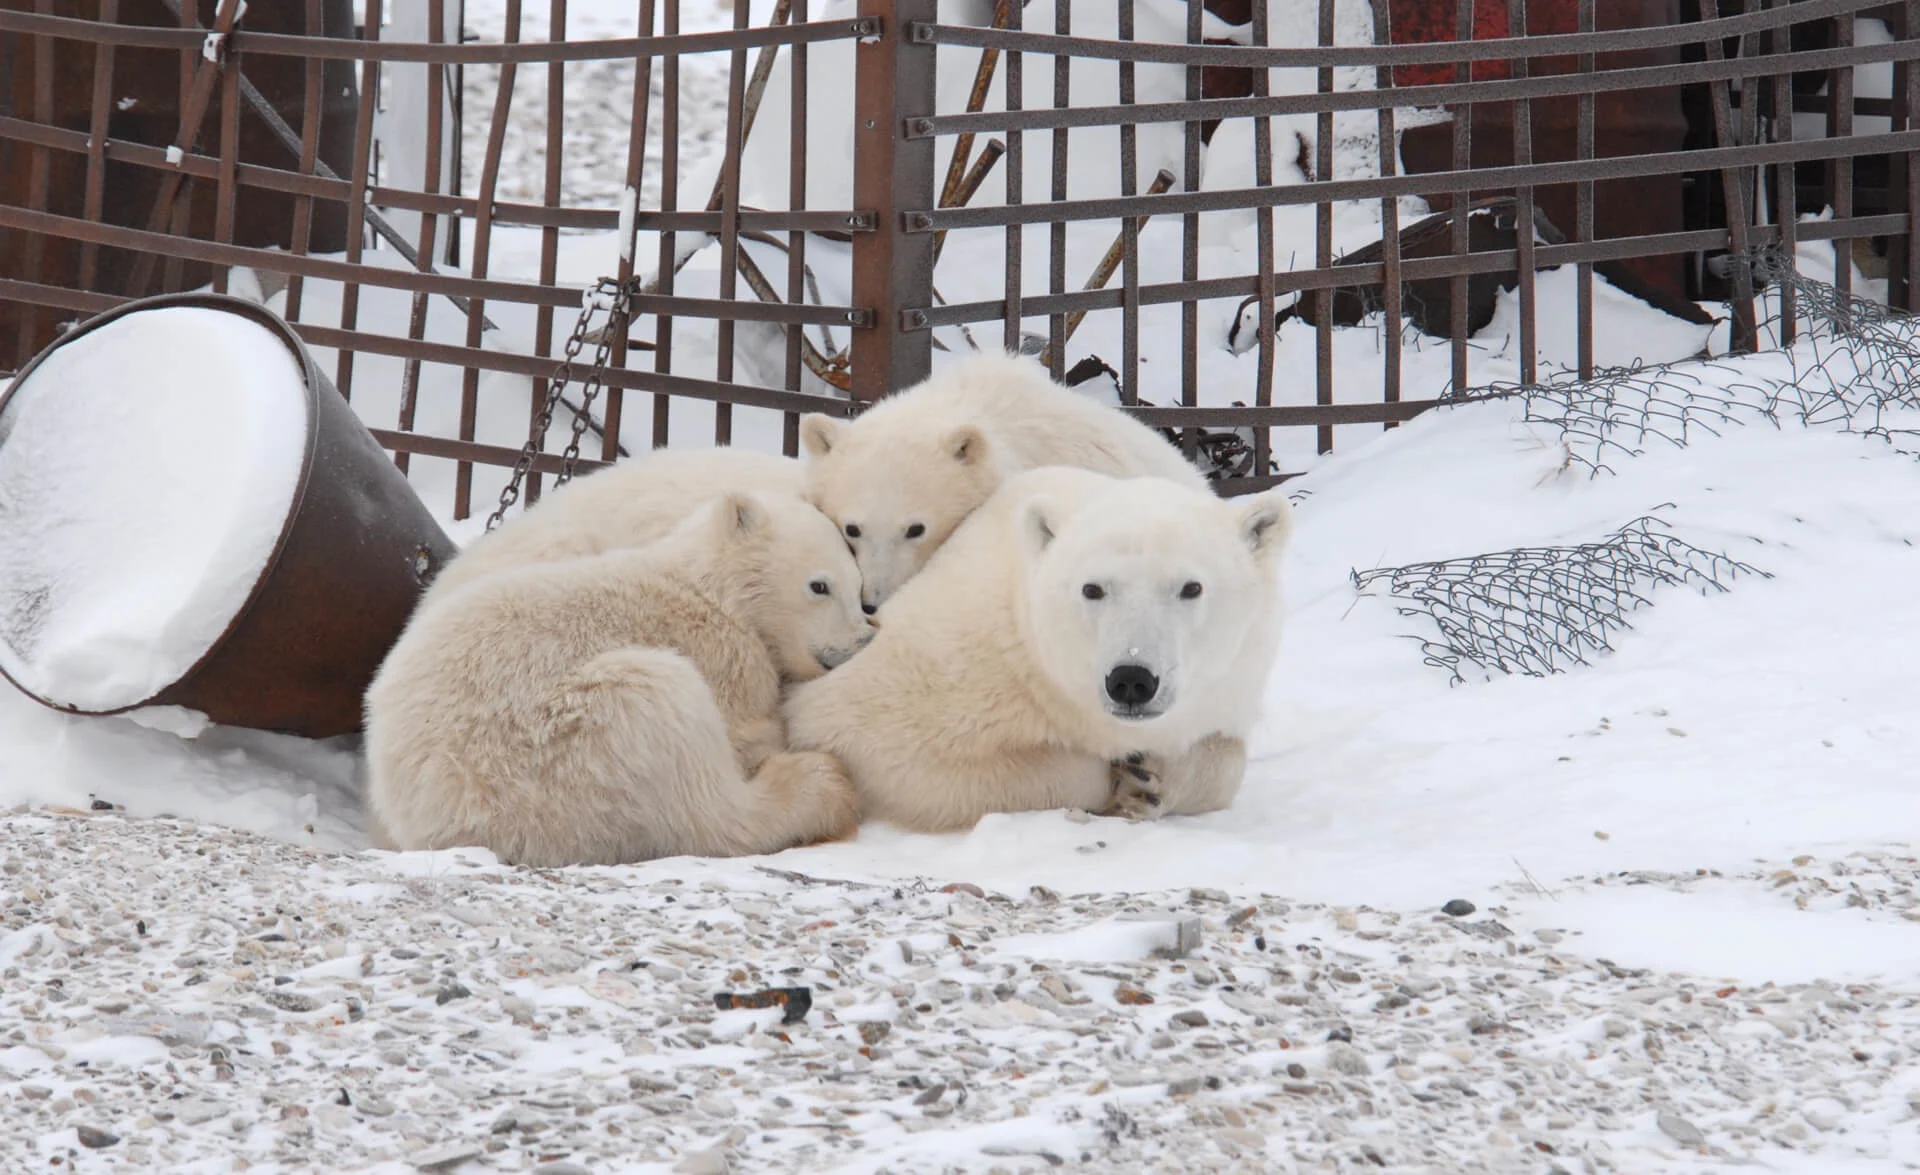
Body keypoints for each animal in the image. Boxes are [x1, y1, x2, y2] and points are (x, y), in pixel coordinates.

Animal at [363, 491, 874, 866]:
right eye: (820, 586)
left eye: (859, 586)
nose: (863, 639)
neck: (712, 592)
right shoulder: (725, 654)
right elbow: (746, 732)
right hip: (556, 754)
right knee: (685, 762)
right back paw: (821, 785)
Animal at [783, 466, 1293, 833]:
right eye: (1092, 588)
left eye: (1191, 587)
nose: (1131, 679)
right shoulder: (957, 658)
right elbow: (867, 735)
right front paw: (1120, 782)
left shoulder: (1230, 689)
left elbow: (1225, 757)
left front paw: (1150, 779)